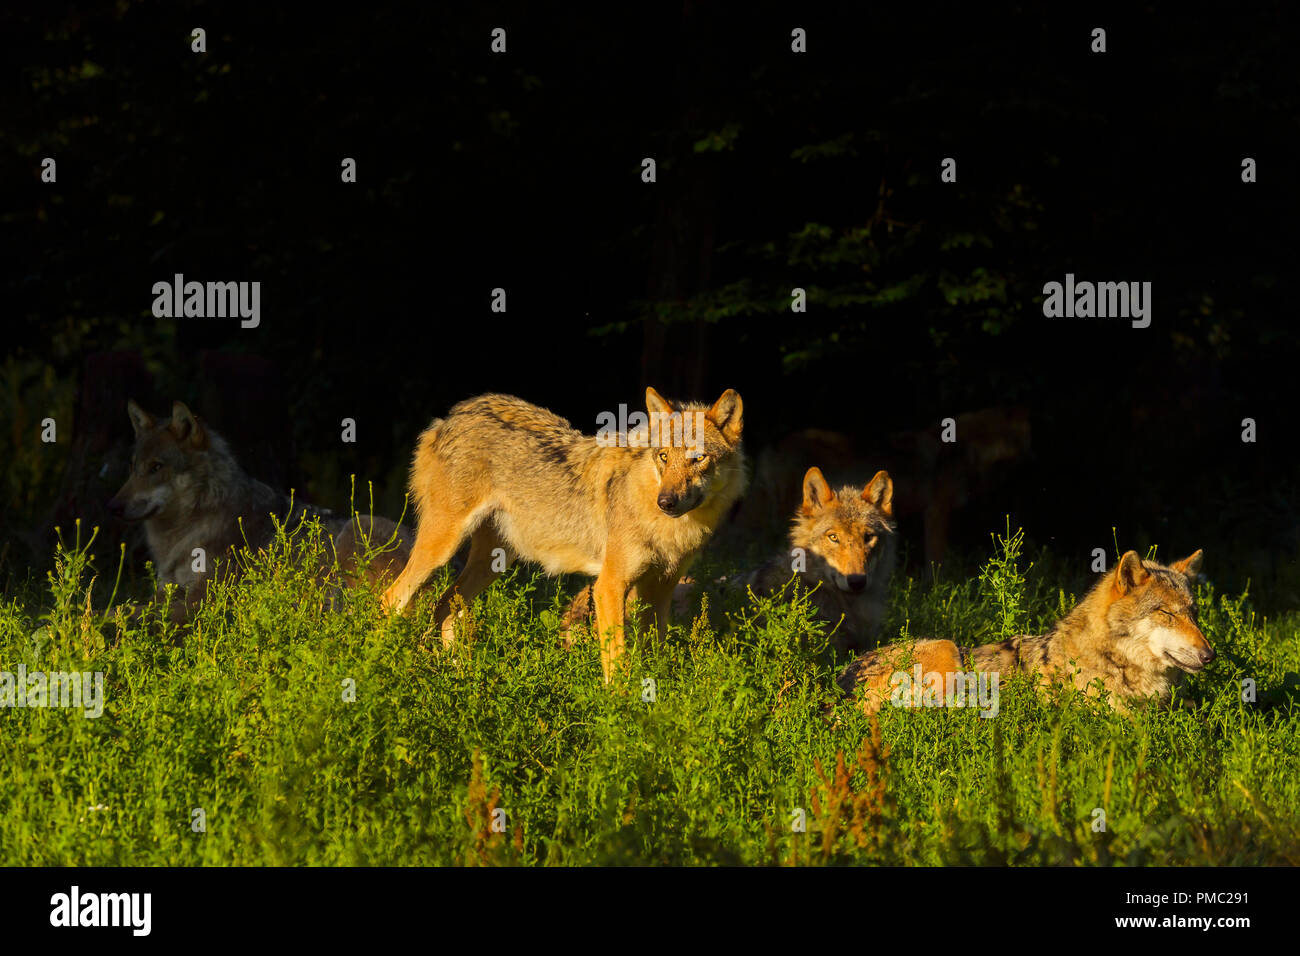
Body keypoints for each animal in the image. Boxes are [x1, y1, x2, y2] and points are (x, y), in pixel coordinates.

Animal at [108, 400, 411, 622]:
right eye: (133, 466)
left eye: (156, 467)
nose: (113, 507)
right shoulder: (167, 590)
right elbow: (127, 604)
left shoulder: (200, 600)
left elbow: (127, 610)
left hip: (357, 528)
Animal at [381, 387, 747, 682]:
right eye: (664, 457)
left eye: (698, 458)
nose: (666, 502)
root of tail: (453, 415)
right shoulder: (609, 586)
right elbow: (618, 663)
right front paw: (620, 713)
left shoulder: (660, 590)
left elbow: (652, 657)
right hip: (442, 548)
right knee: (391, 598)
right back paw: (383, 666)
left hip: (494, 563)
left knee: (445, 604)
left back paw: (457, 675)